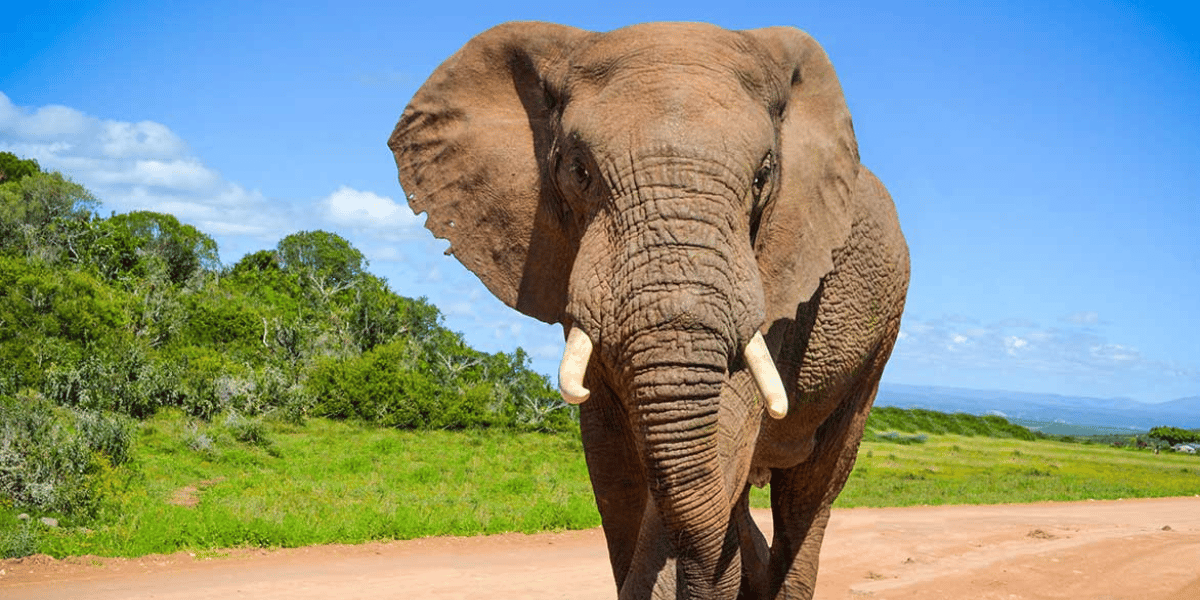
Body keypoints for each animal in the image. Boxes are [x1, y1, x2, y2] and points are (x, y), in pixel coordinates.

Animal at [387, 21, 909, 600]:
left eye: (762, 177)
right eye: (579, 170)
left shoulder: (777, 292)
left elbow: (720, 434)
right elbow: (614, 467)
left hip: (879, 339)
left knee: (810, 490)